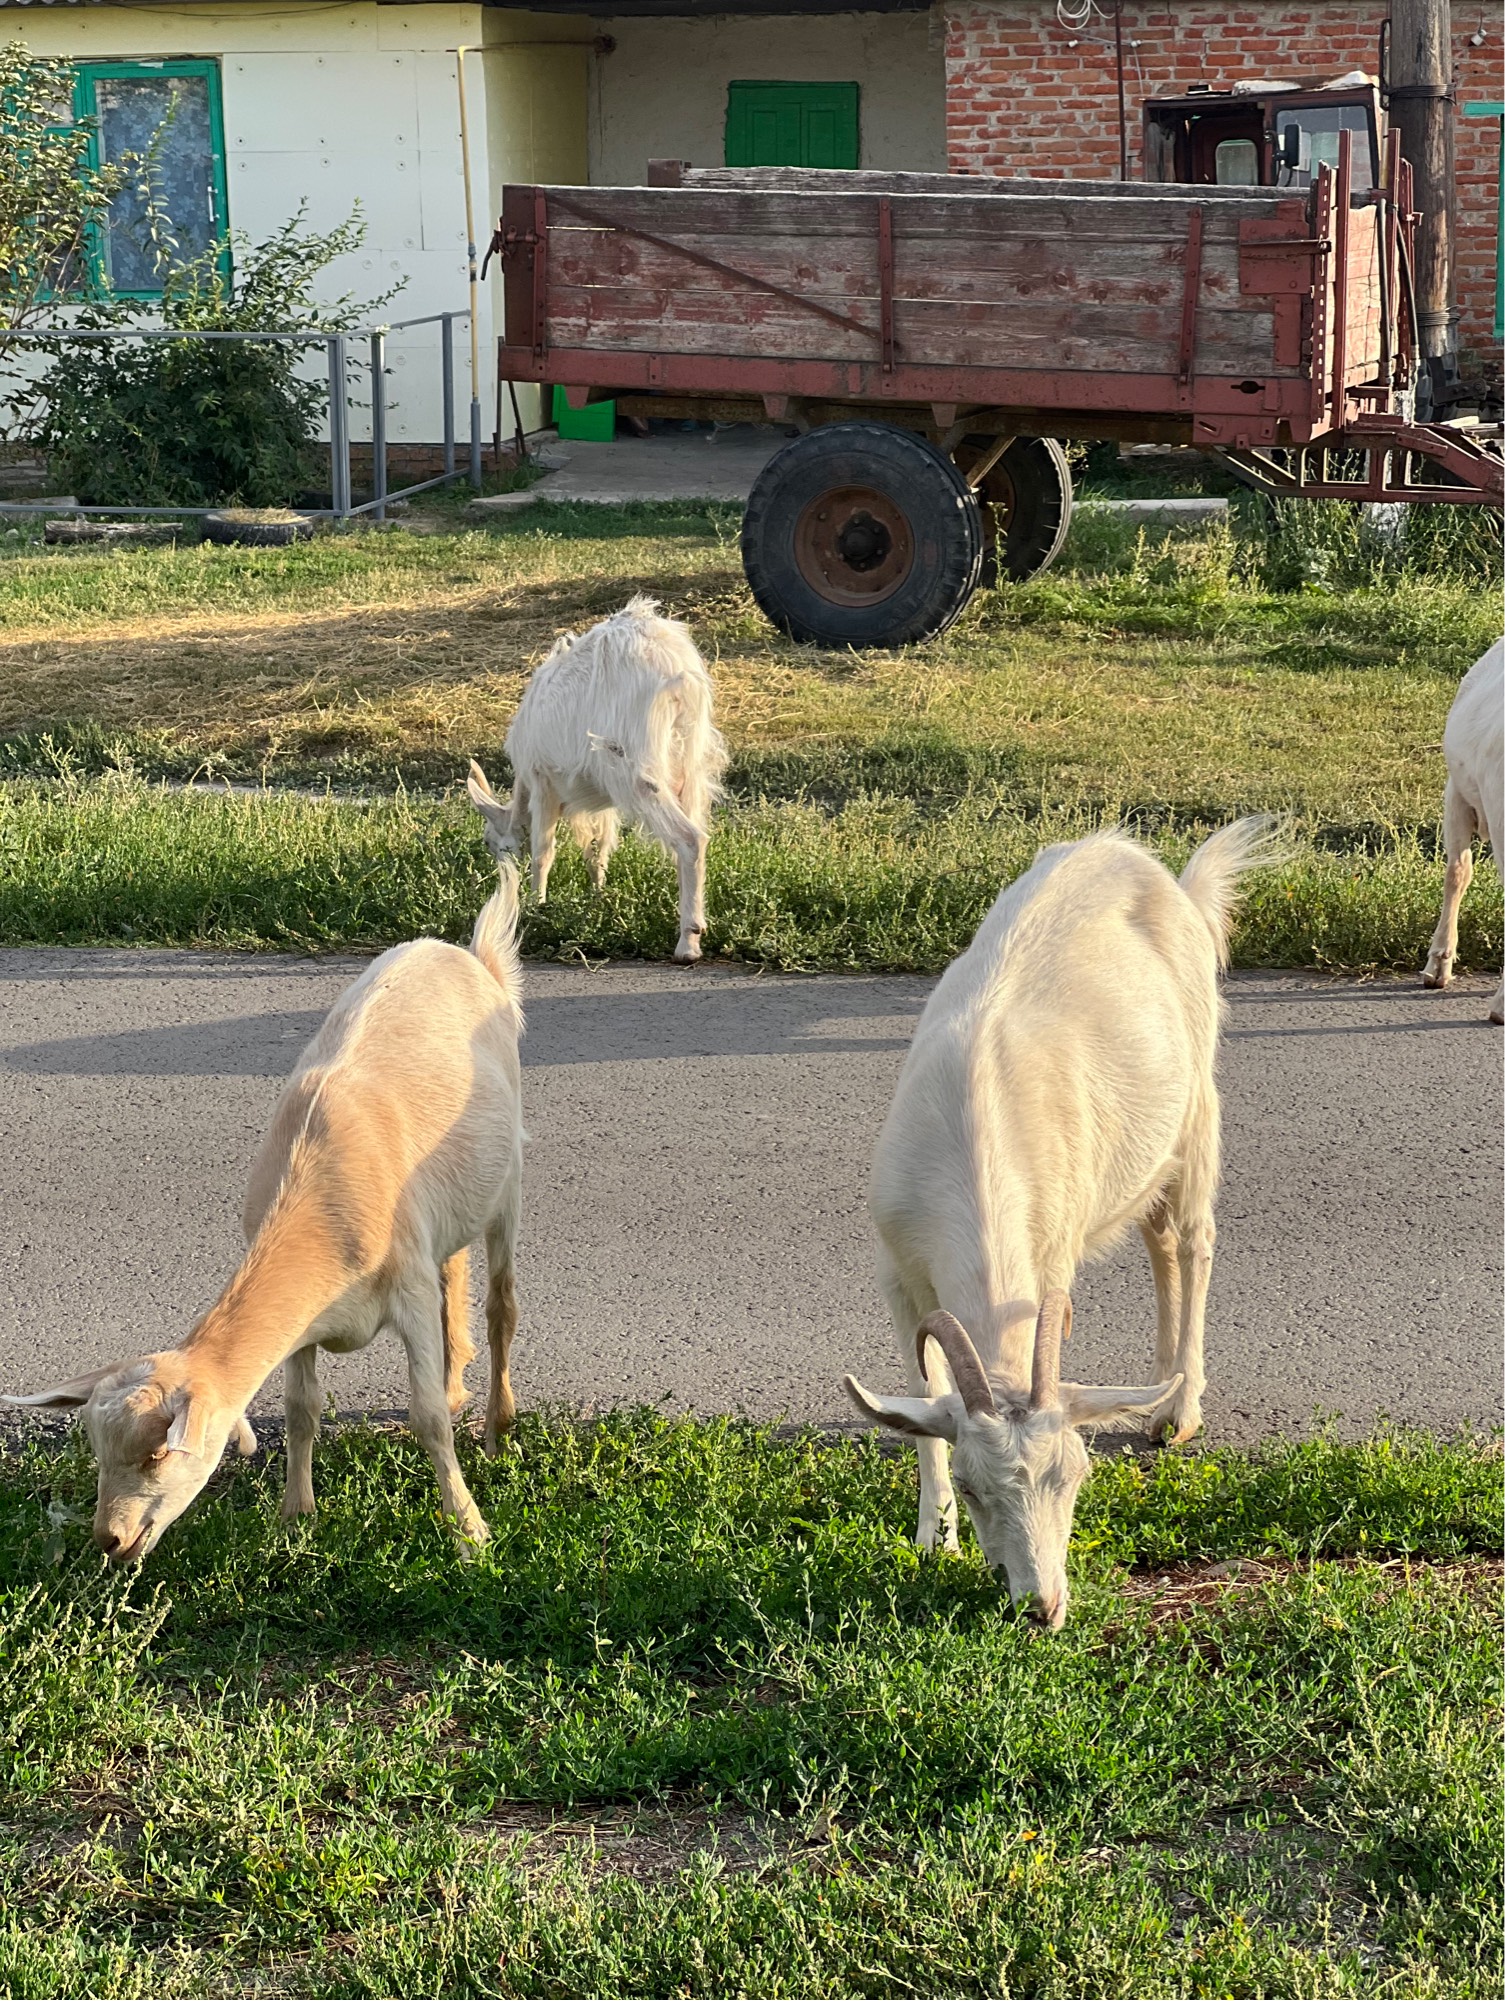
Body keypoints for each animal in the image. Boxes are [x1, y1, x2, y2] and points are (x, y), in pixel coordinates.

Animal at [2, 868, 528, 1552]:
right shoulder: (308, 1322)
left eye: (157, 1453)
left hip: (510, 1179)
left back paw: (497, 1432)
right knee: (456, 1269)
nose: (111, 1540)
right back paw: (458, 1379)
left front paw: (470, 1532)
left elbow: (429, 1419)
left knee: (501, 1304)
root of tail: (472, 956)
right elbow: (303, 1409)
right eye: (95, 1449)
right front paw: (295, 1517)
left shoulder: (406, 1285)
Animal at [470, 592, 728, 960]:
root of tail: (676, 670)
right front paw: (598, 897)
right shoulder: (601, 793)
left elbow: (543, 851)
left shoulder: (542, 779)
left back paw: (688, 942)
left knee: (691, 837)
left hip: (634, 764)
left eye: (489, 842)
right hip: (689, 762)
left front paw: (536, 906)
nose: (501, 877)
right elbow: (599, 850)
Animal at [840, 820, 1272, 1632]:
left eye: (1076, 1476)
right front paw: (932, 1537)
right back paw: (1156, 1389)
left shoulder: (1053, 1250)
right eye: (975, 1487)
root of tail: (1147, 865)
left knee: (1193, 1240)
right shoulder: (896, 1269)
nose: (1042, 1606)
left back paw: (1181, 1408)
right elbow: (918, 1392)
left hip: (1197, 1106)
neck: (971, 1140)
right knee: (1157, 1242)